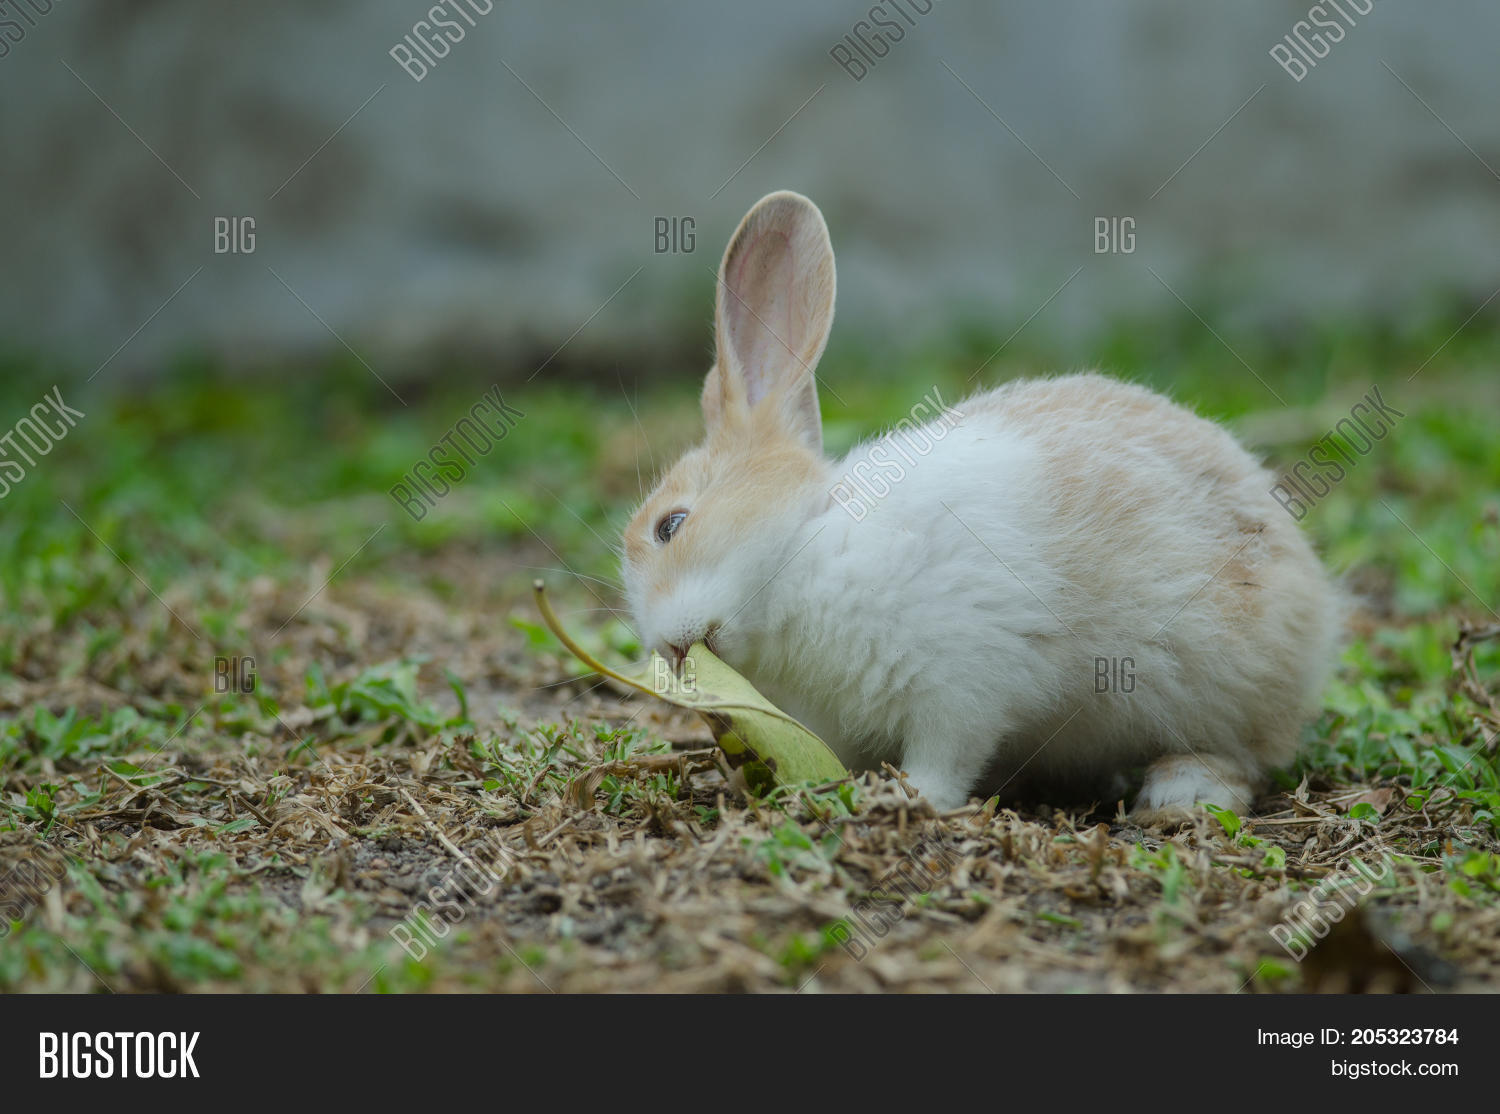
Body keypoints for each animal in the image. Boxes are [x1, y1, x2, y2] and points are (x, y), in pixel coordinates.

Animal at [621, 190, 1342, 823]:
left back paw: (1182, 793)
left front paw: (906, 797)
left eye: (671, 526)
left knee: (1245, 755)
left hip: (1222, 685)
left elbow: (947, 755)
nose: (668, 649)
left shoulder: (961, 681)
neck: (805, 548)